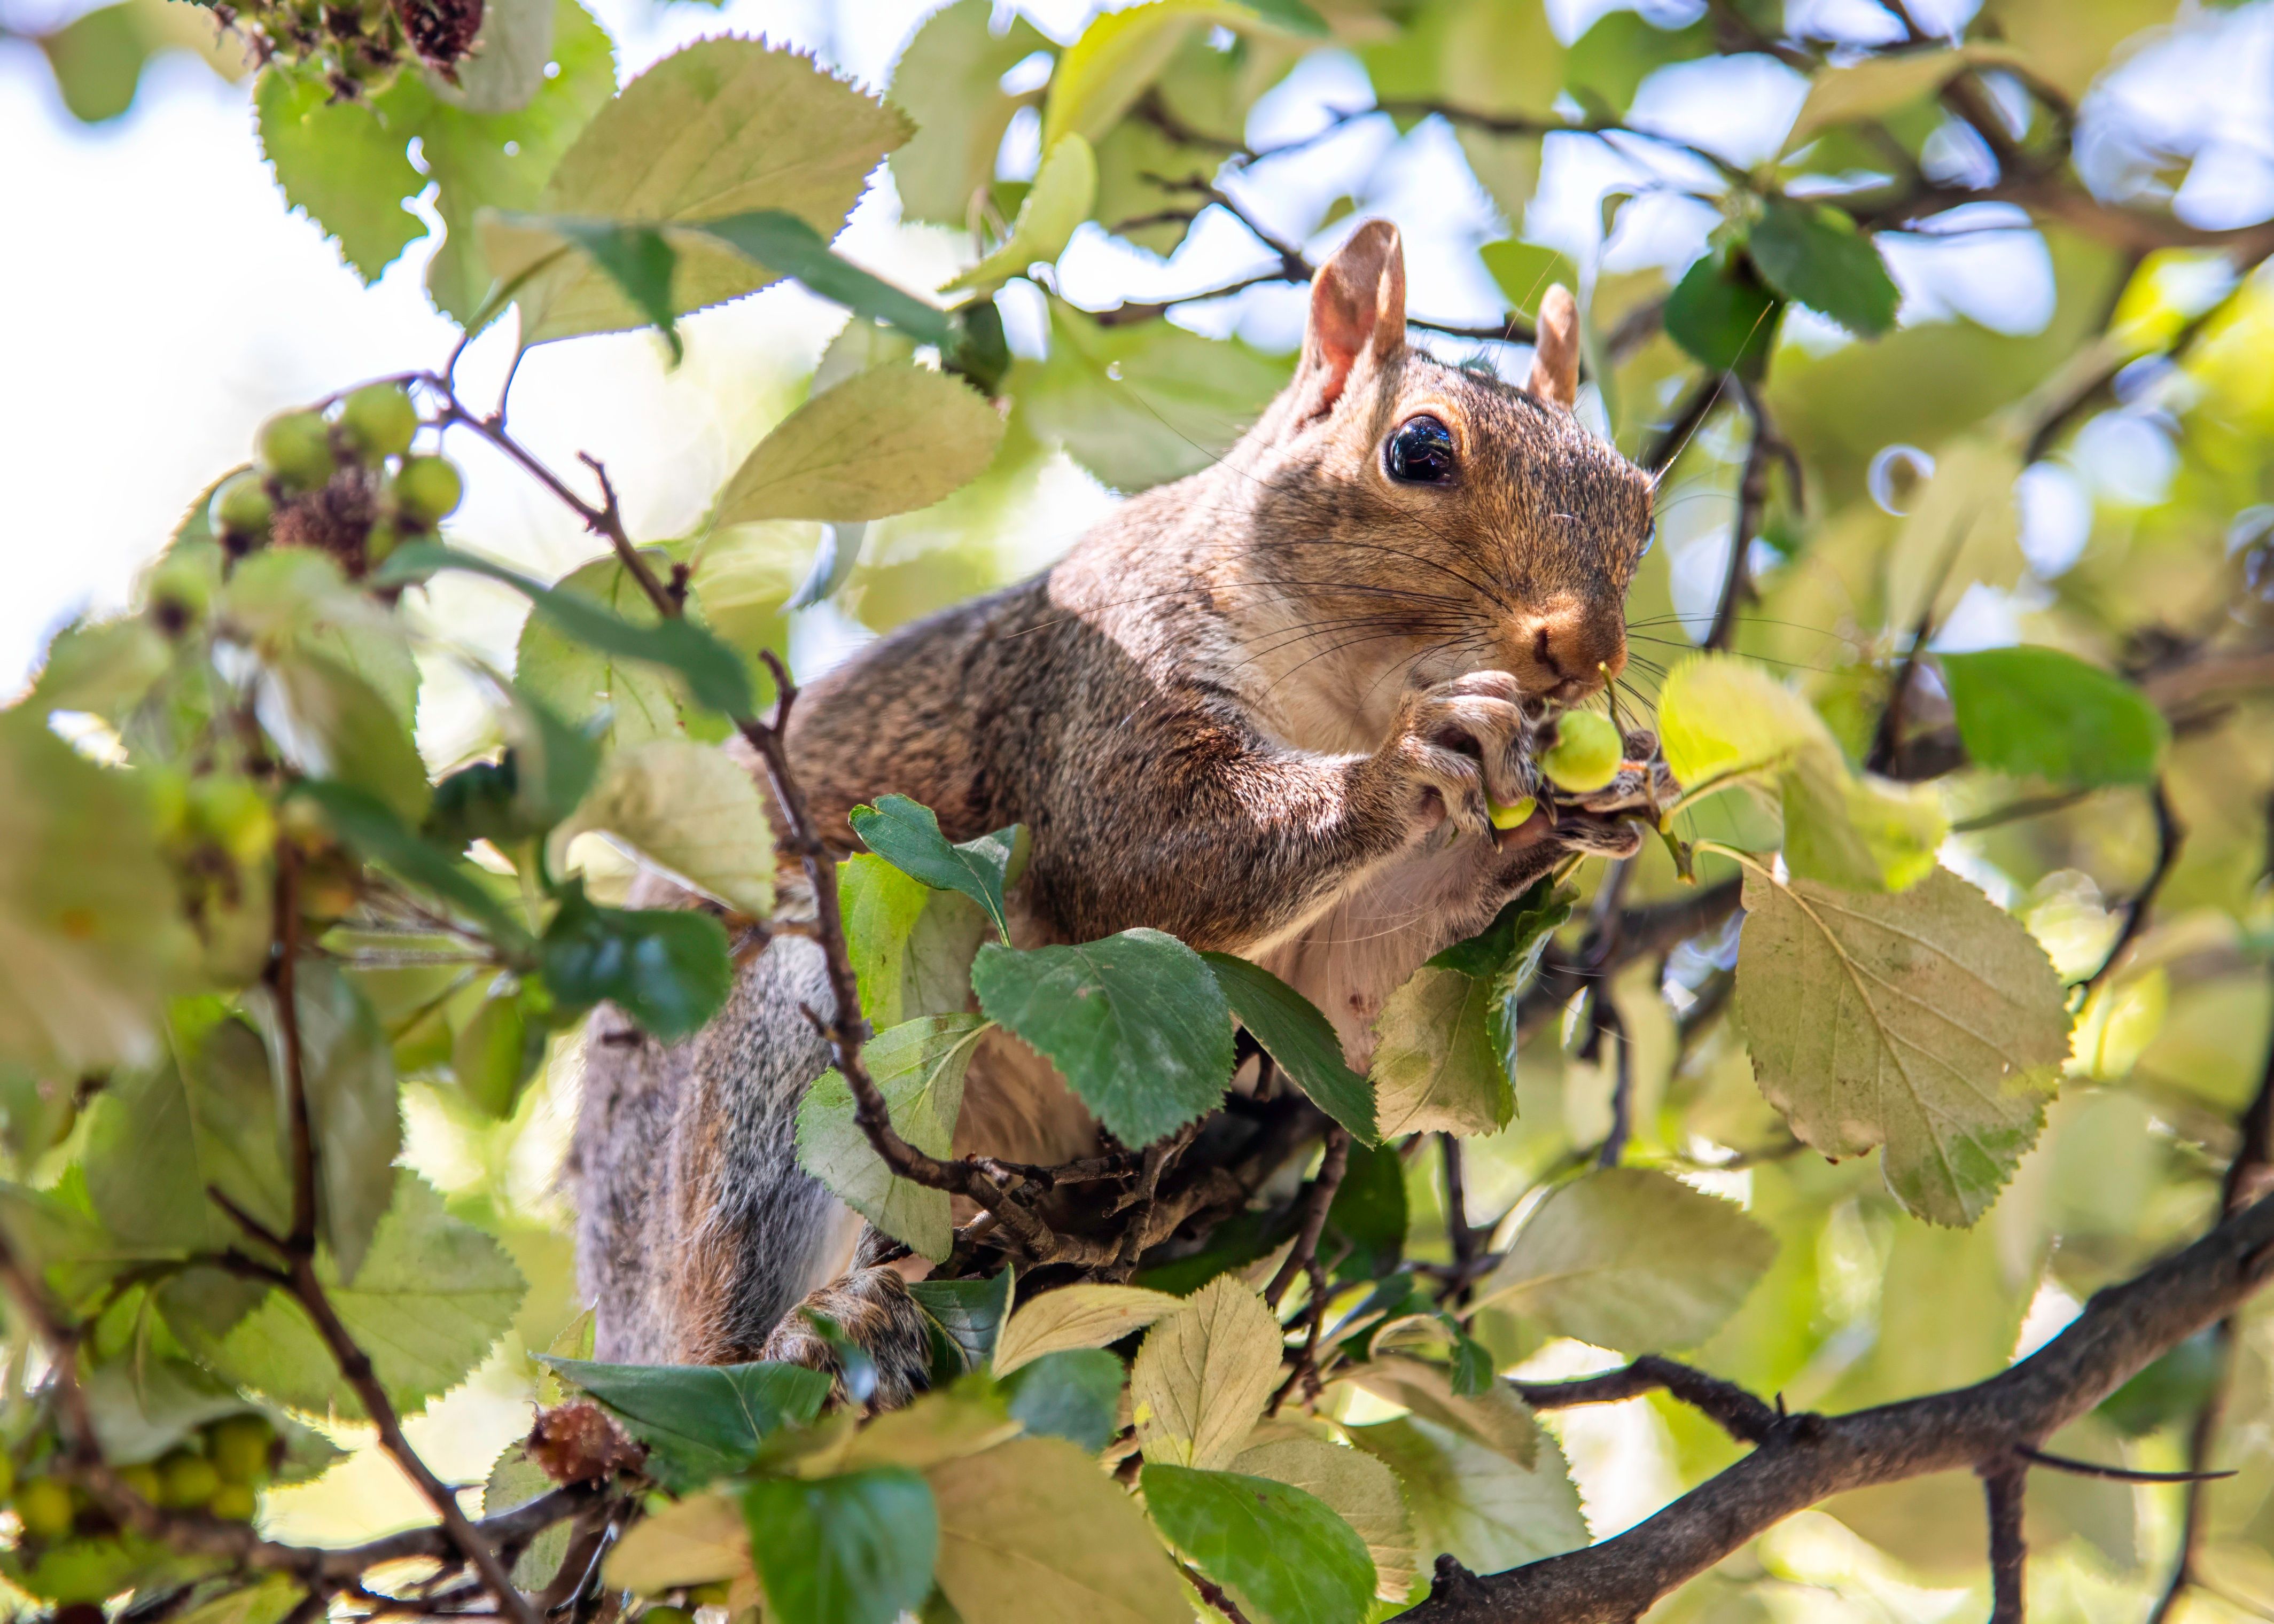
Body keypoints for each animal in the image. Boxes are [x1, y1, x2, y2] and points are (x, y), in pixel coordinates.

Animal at [566, 220, 1660, 1400]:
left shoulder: (1308, 973)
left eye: (1640, 510)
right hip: (774, 1066)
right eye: (1416, 450)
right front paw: (1411, 757)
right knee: (726, 1294)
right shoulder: (1101, 671)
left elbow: (1346, 984)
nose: (1585, 647)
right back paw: (803, 1334)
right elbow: (1137, 861)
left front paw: (1579, 807)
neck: (1335, 698)